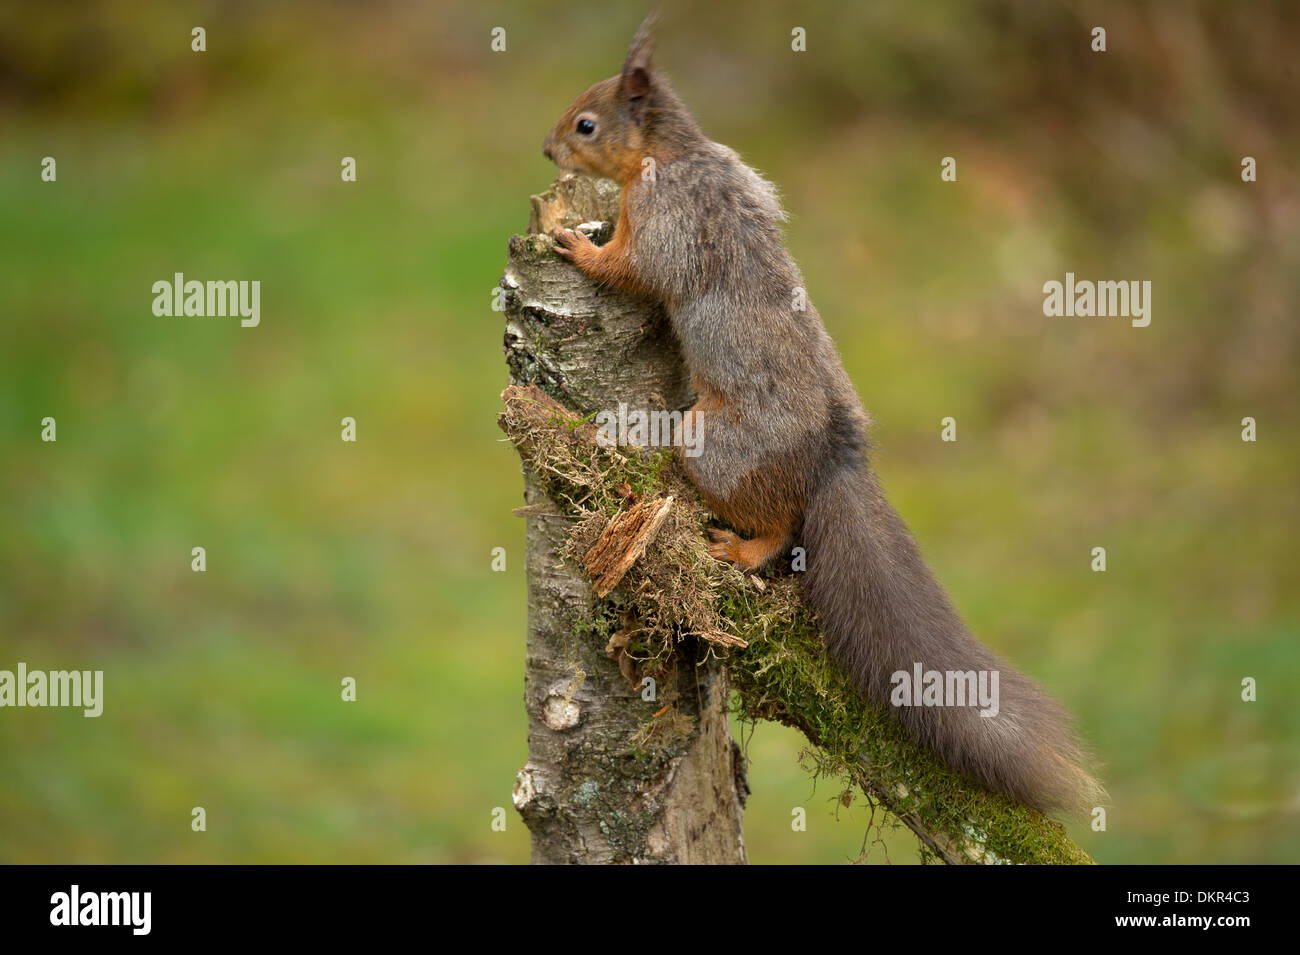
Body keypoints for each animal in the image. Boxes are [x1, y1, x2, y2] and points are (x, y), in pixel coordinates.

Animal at [542, 18, 1101, 814]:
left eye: (587, 123)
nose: (548, 150)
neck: (670, 155)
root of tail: (832, 458)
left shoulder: (667, 222)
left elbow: (631, 268)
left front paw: (574, 244)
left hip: (714, 447)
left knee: (780, 525)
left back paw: (740, 550)